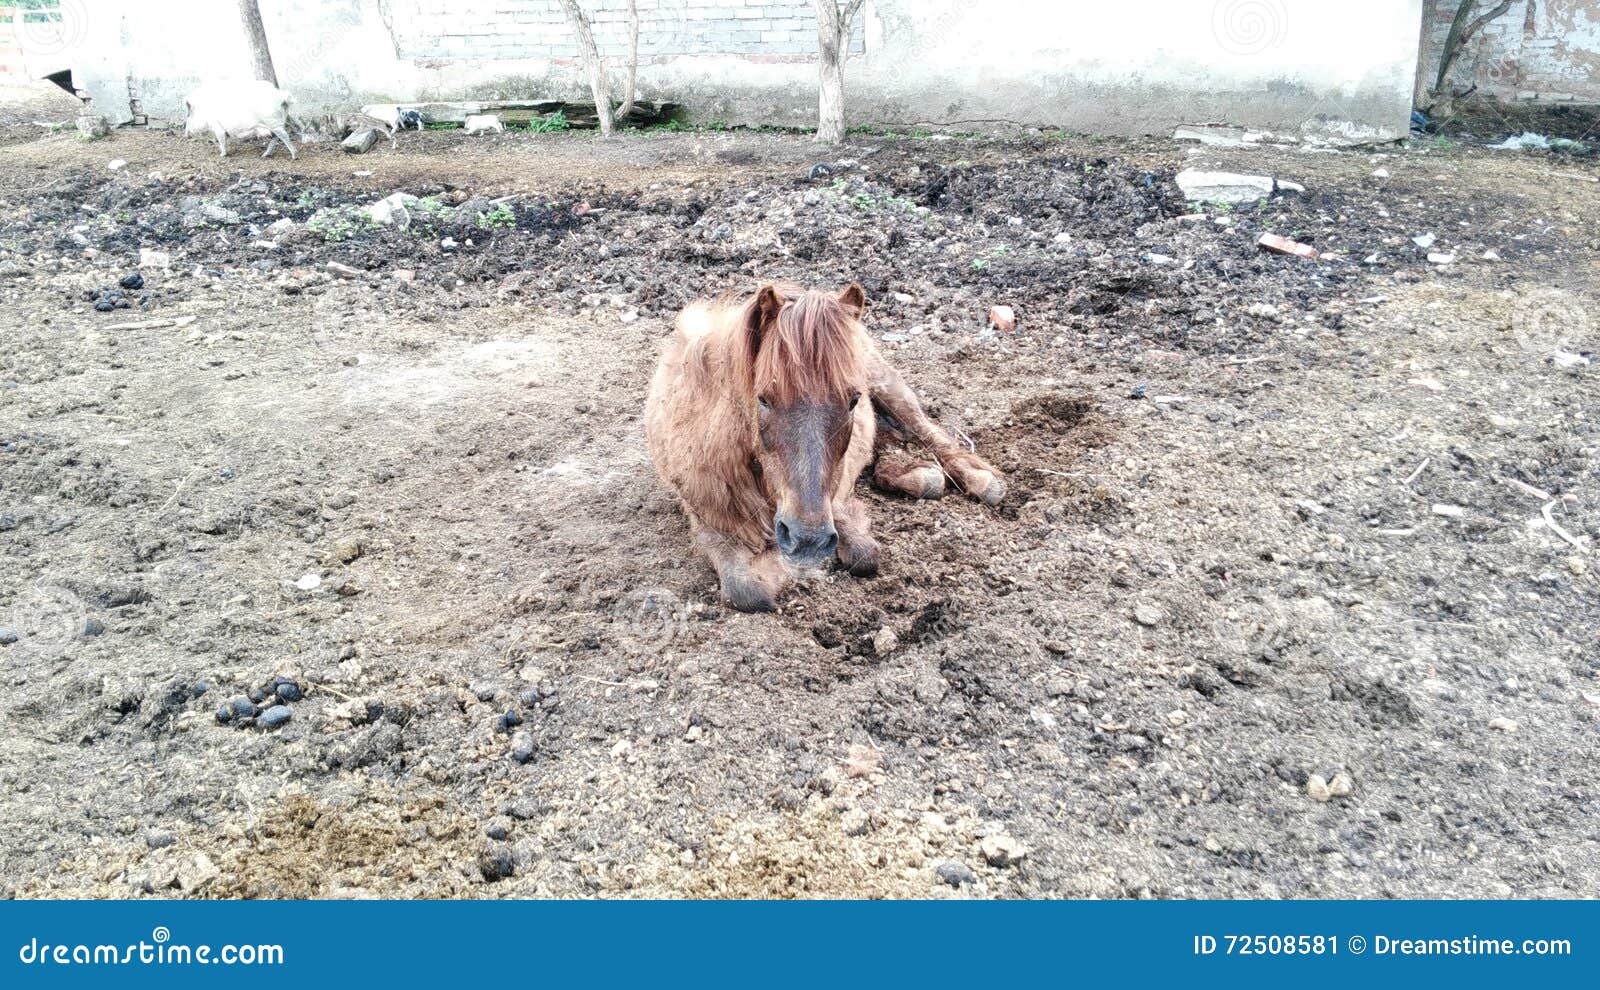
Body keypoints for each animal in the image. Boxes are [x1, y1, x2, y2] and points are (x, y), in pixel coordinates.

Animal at [644, 282, 1005, 612]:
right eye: (763, 398)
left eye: (853, 399)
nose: (808, 540)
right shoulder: (704, 516)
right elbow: (746, 590)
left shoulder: (831, 502)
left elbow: (863, 553)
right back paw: (917, 475)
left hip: (888, 386)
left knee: (924, 430)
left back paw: (979, 479)